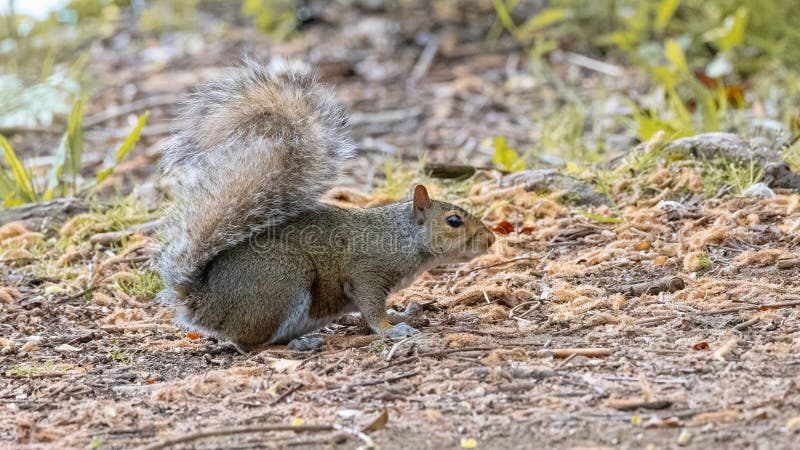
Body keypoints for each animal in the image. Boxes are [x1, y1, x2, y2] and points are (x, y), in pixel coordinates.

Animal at [157, 59, 495, 352]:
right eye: (453, 221)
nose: (491, 239)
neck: (403, 235)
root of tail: (204, 302)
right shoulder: (367, 272)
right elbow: (372, 307)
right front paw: (391, 329)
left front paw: (403, 314)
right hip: (284, 279)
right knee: (249, 345)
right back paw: (296, 346)